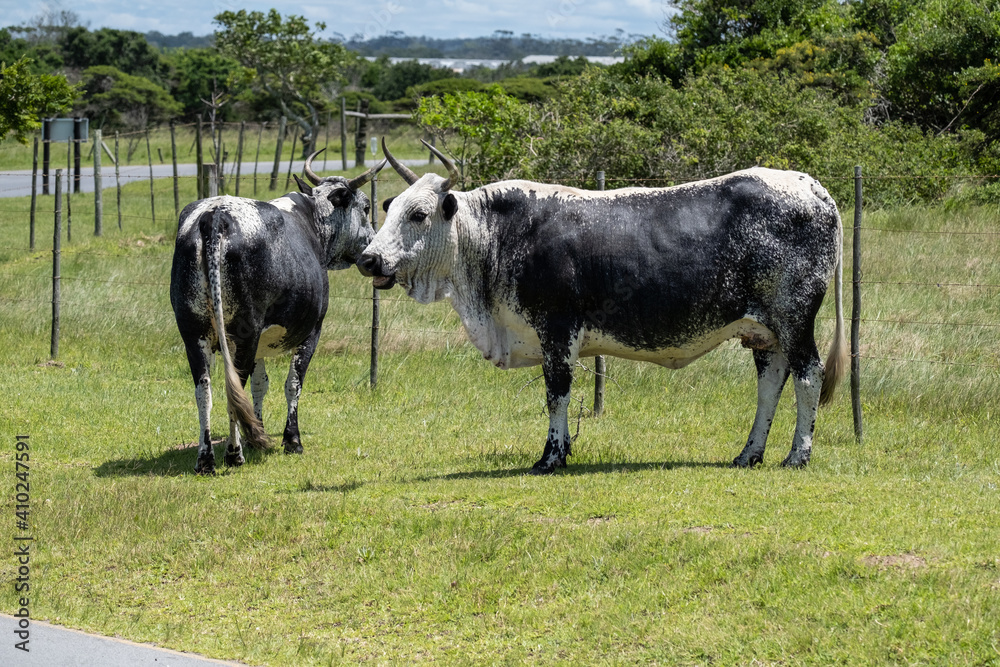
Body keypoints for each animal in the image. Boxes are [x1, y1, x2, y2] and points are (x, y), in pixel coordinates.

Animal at [170, 152, 385, 474]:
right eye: (366, 207)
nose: (372, 249)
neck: (313, 219)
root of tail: (216, 215)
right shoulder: (312, 331)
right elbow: (293, 384)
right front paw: (291, 440)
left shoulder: (259, 342)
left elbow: (260, 385)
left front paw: (256, 433)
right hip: (242, 333)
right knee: (234, 387)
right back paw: (233, 454)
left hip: (193, 332)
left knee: (204, 389)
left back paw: (206, 458)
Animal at [358, 139, 847, 474]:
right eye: (388, 208)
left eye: (418, 214)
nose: (368, 258)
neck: (497, 237)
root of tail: (812, 186)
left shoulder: (557, 329)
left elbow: (556, 393)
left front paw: (551, 457)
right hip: (764, 331)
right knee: (771, 383)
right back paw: (749, 454)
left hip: (794, 318)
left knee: (807, 376)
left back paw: (797, 455)